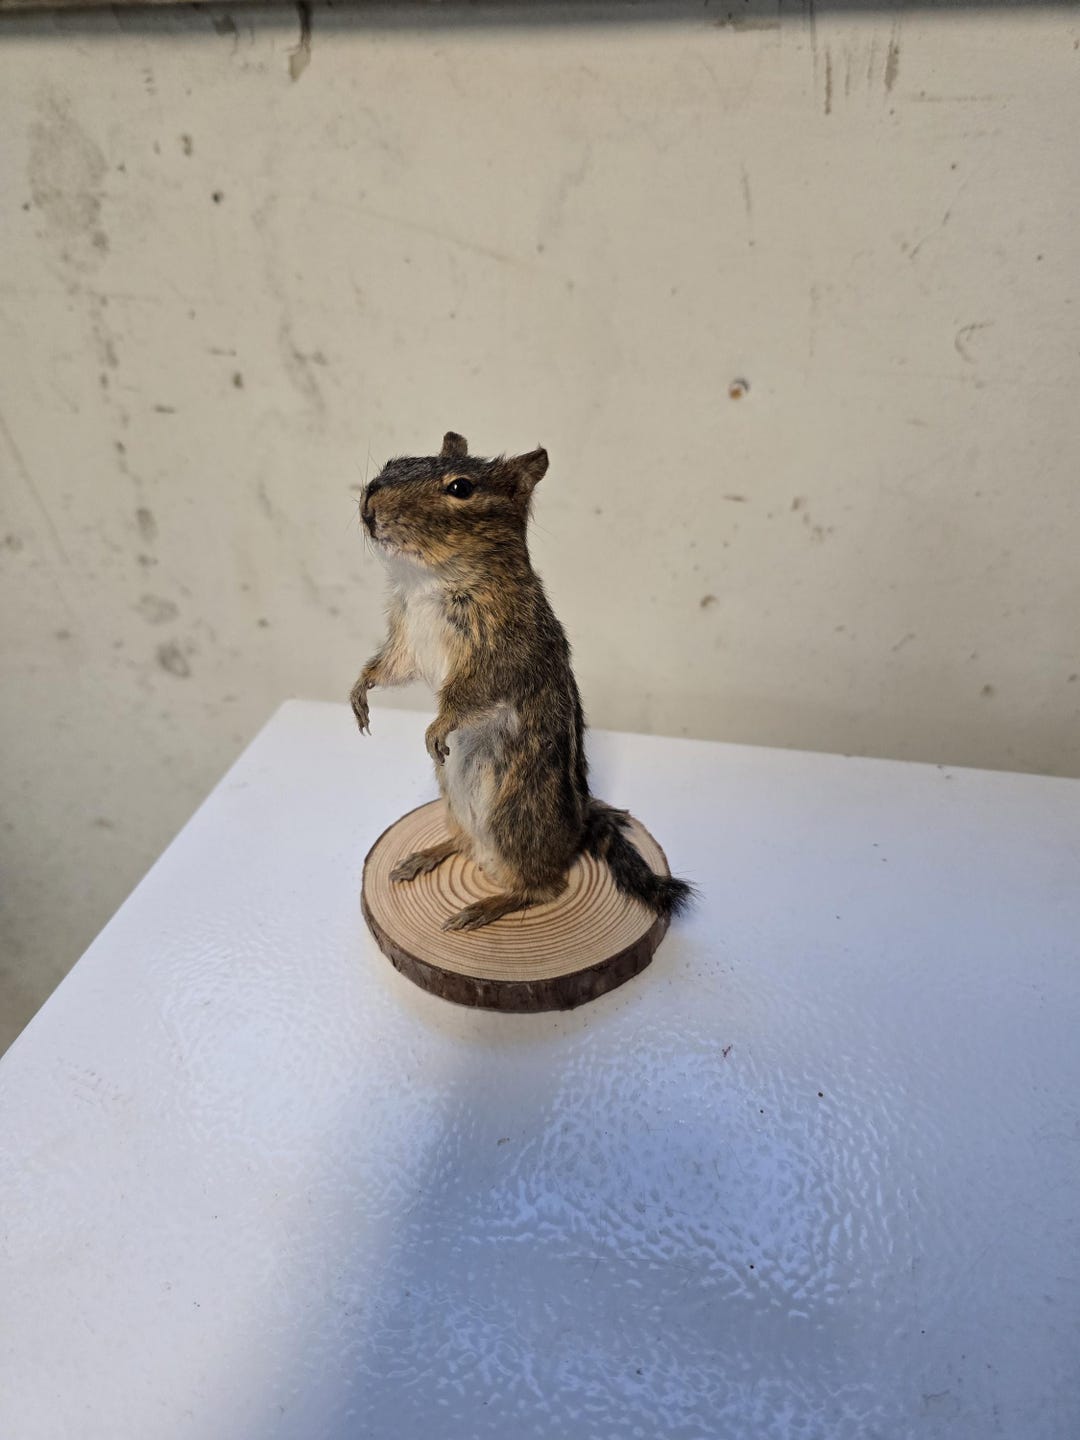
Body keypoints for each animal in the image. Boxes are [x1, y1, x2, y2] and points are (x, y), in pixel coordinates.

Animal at [350, 431, 693, 932]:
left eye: (460, 488)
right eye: (394, 463)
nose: (369, 503)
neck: (427, 580)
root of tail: (576, 829)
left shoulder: (504, 650)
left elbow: (470, 692)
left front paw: (437, 726)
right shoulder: (406, 639)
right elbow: (391, 667)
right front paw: (360, 689)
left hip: (514, 821)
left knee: (546, 887)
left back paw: (485, 906)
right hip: (454, 808)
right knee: (463, 843)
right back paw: (424, 856)